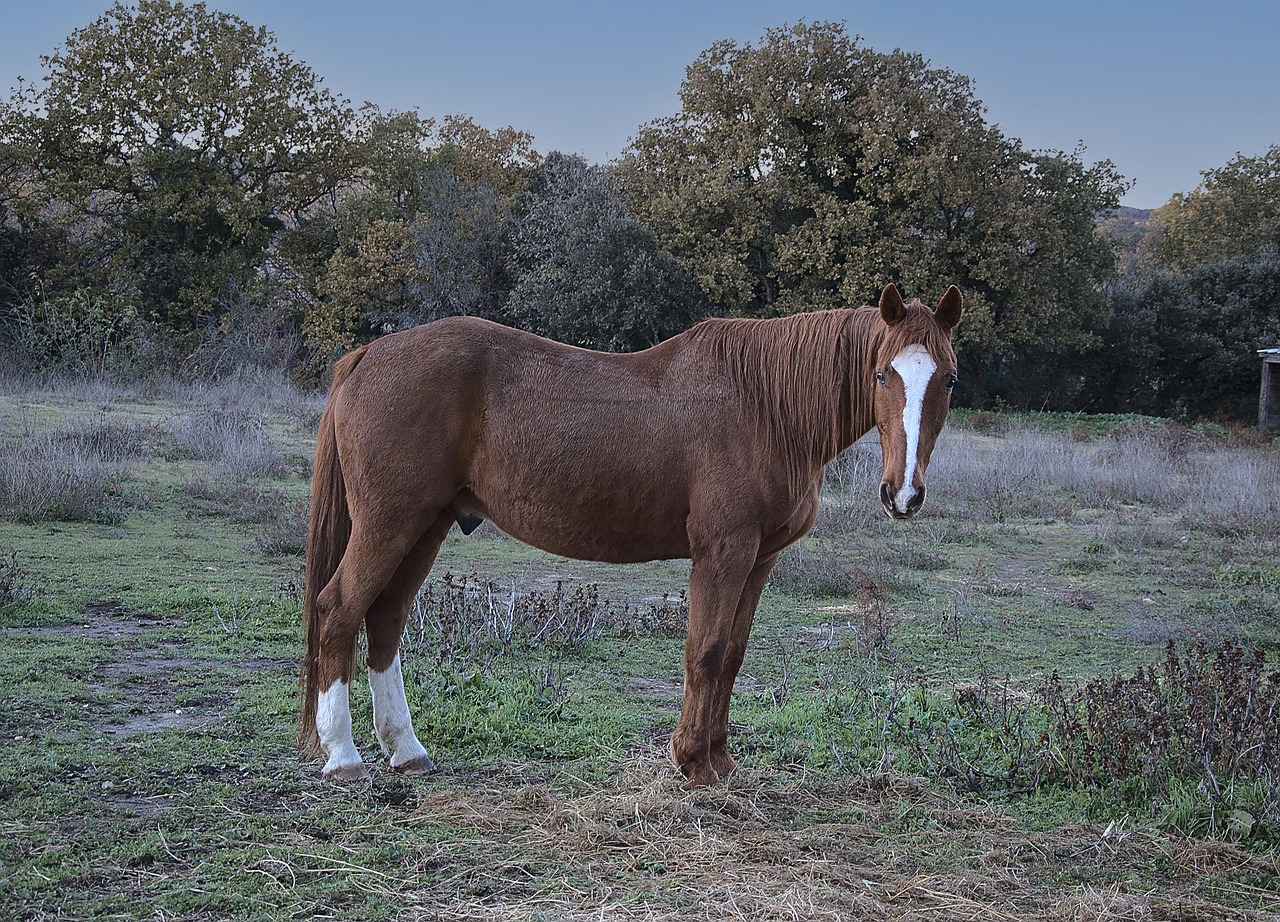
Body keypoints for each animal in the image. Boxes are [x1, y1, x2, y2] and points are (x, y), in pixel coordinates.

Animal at [299, 283, 962, 788]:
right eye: (882, 373)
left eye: (950, 380)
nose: (903, 493)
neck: (764, 405)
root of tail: (367, 355)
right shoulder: (723, 551)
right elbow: (706, 650)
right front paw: (692, 763)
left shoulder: (760, 559)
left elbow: (732, 655)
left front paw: (720, 761)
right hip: (389, 523)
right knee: (338, 611)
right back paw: (344, 757)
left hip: (426, 525)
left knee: (385, 620)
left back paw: (405, 750)